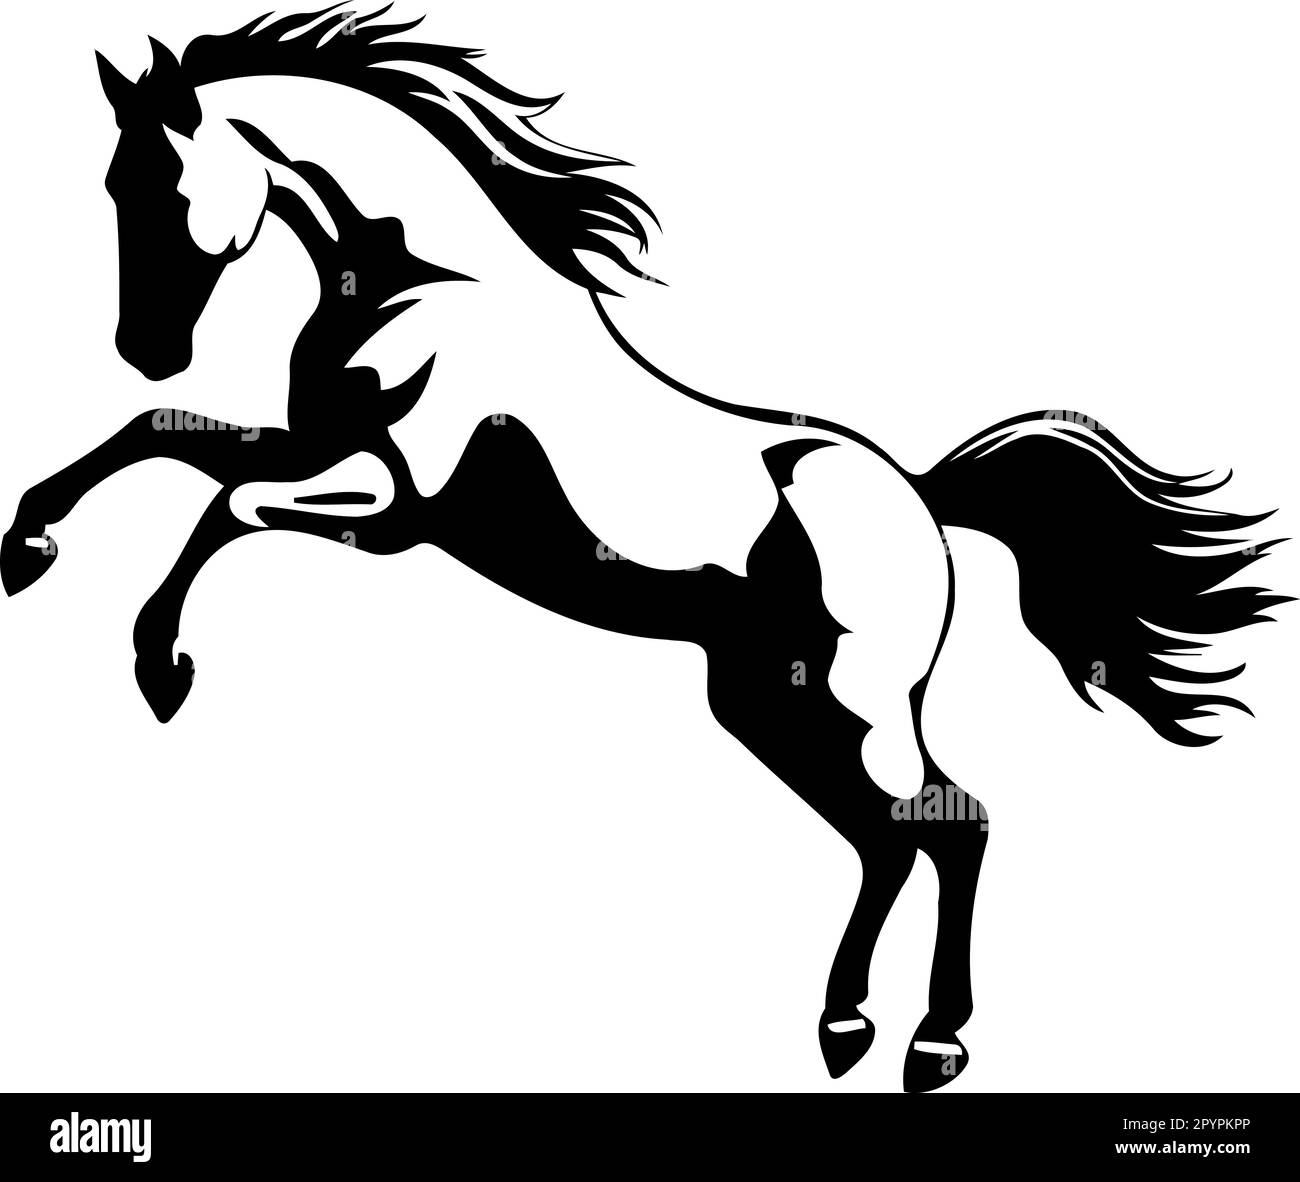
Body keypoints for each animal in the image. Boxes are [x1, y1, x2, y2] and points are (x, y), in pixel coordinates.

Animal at [1, 6, 1285, 1091]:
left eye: (162, 180)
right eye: (110, 182)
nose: (144, 343)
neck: (425, 286)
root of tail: (921, 501)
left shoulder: (394, 508)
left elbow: (223, 507)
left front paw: (160, 665)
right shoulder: (317, 447)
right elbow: (161, 437)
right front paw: (29, 547)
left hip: (856, 697)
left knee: (950, 822)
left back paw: (932, 1043)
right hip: (768, 698)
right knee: (889, 838)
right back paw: (844, 1027)